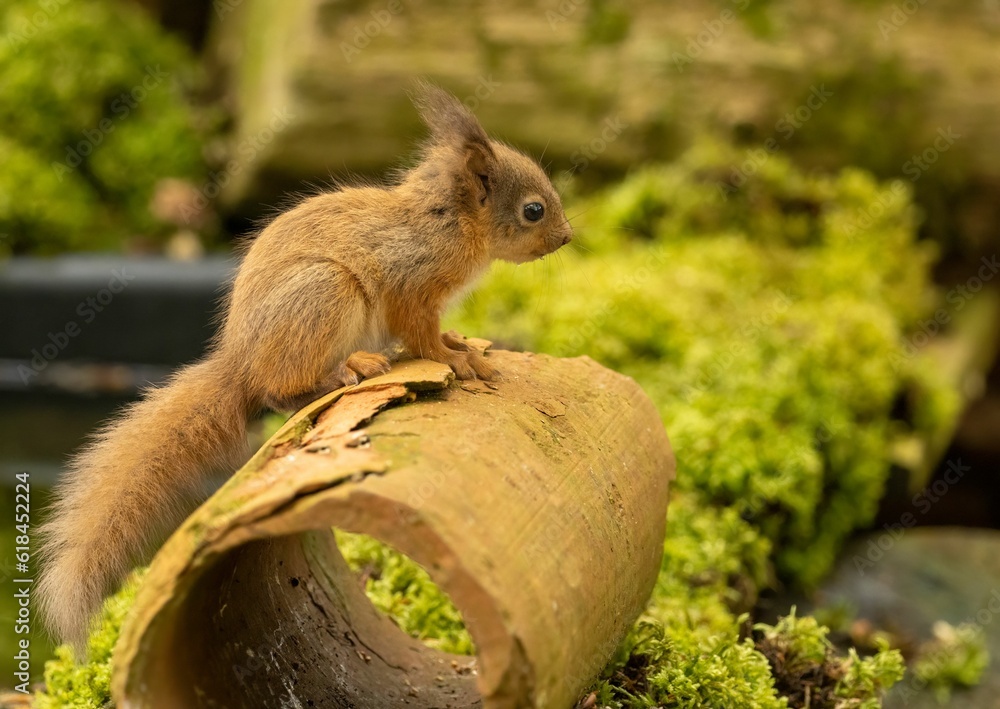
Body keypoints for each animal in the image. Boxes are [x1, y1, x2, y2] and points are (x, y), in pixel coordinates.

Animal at [38, 82, 573, 648]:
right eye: (534, 210)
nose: (568, 237)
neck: (449, 220)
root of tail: (241, 364)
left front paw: (458, 341)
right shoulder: (412, 285)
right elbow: (420, 335)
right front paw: (454, 357)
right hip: (325, 292)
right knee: (279, 390)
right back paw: (345, 370)